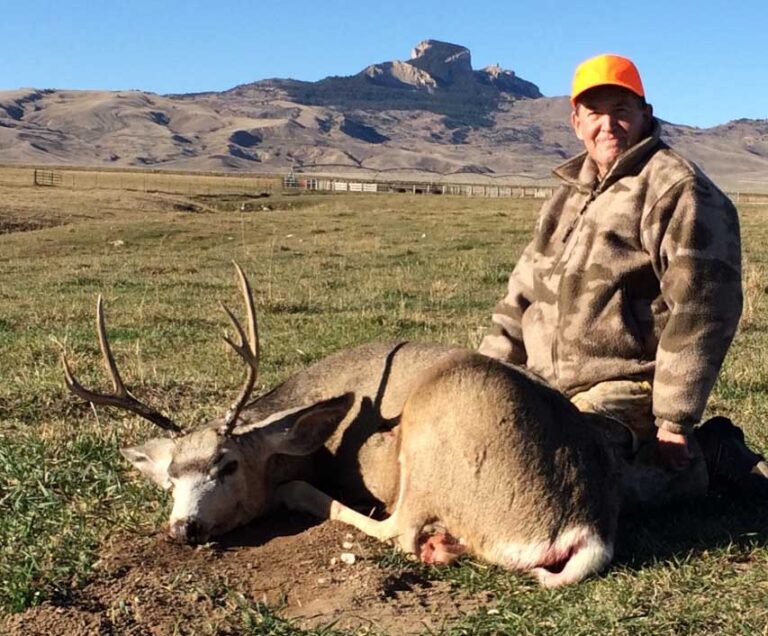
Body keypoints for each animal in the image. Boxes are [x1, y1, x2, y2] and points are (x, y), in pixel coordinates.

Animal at [63, 264, 696, 586]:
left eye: (229, 464)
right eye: (170, 476)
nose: (183, 528)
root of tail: (588, 524)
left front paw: (292, 488)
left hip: (429, 433)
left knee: (399, 531)